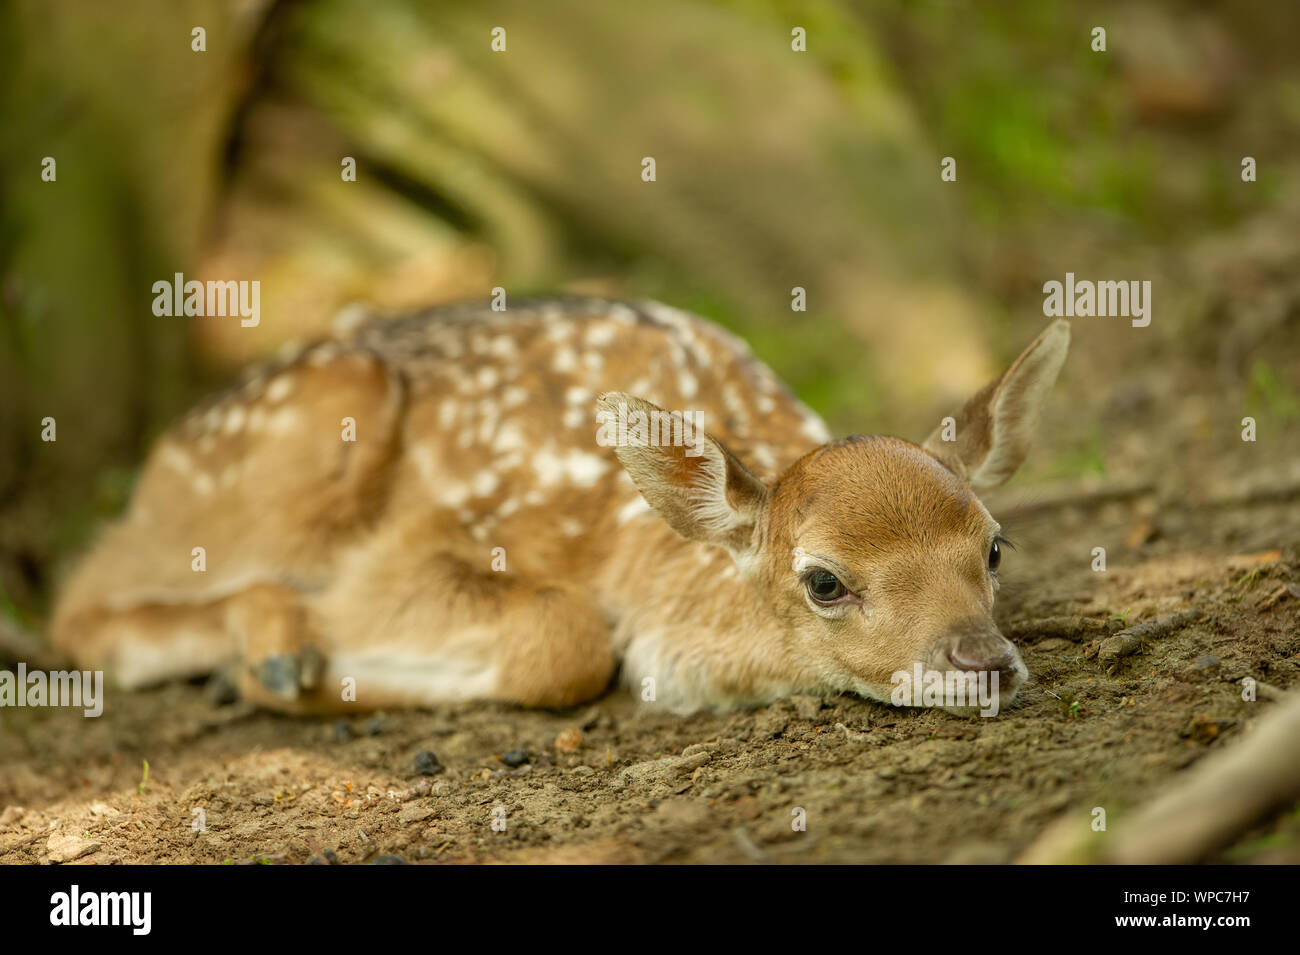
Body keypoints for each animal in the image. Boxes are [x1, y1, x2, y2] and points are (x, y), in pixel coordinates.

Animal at [49, 299, 1070, 716]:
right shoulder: (432, 542)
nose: (983, 661)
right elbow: (568, 641)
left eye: (994, 548)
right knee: (78, 599)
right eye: (824, 580)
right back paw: (265, 648)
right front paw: (295, 678)